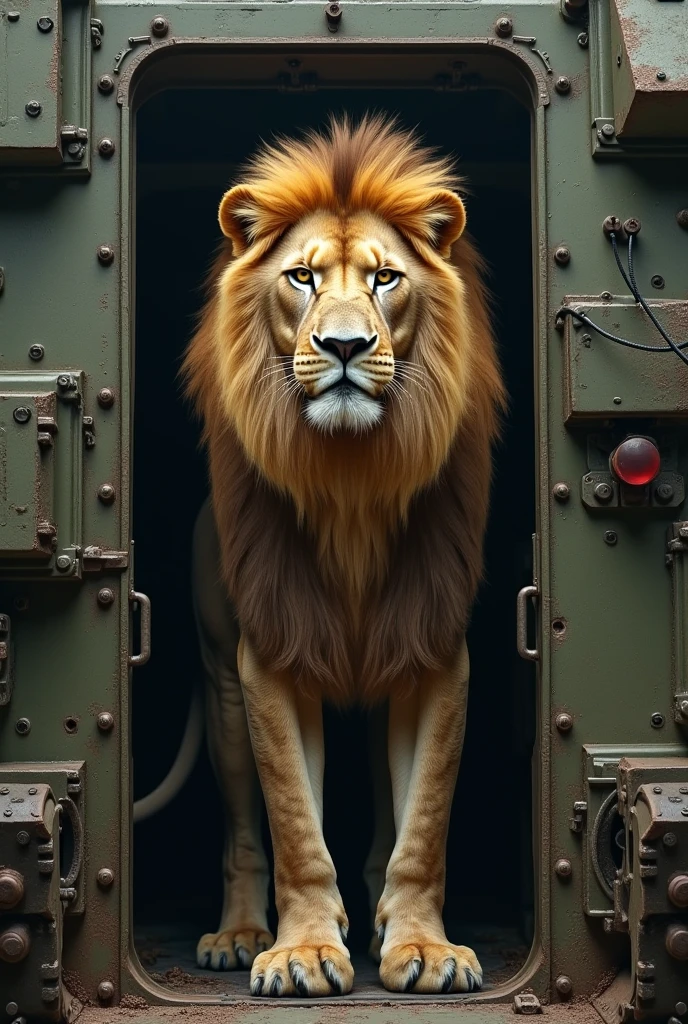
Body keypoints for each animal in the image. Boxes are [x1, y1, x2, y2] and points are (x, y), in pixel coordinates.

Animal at [183, 115, 505, 997]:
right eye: (301, 276)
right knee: (241, 835)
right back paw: (238, 933)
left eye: (386, 278)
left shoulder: (435, 651)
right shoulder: (267, 658)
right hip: (222, 692)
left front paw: (423, 946)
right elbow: (295, 824)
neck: (351, 476)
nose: (346, 345)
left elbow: (423, 823)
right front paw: (300, 952)